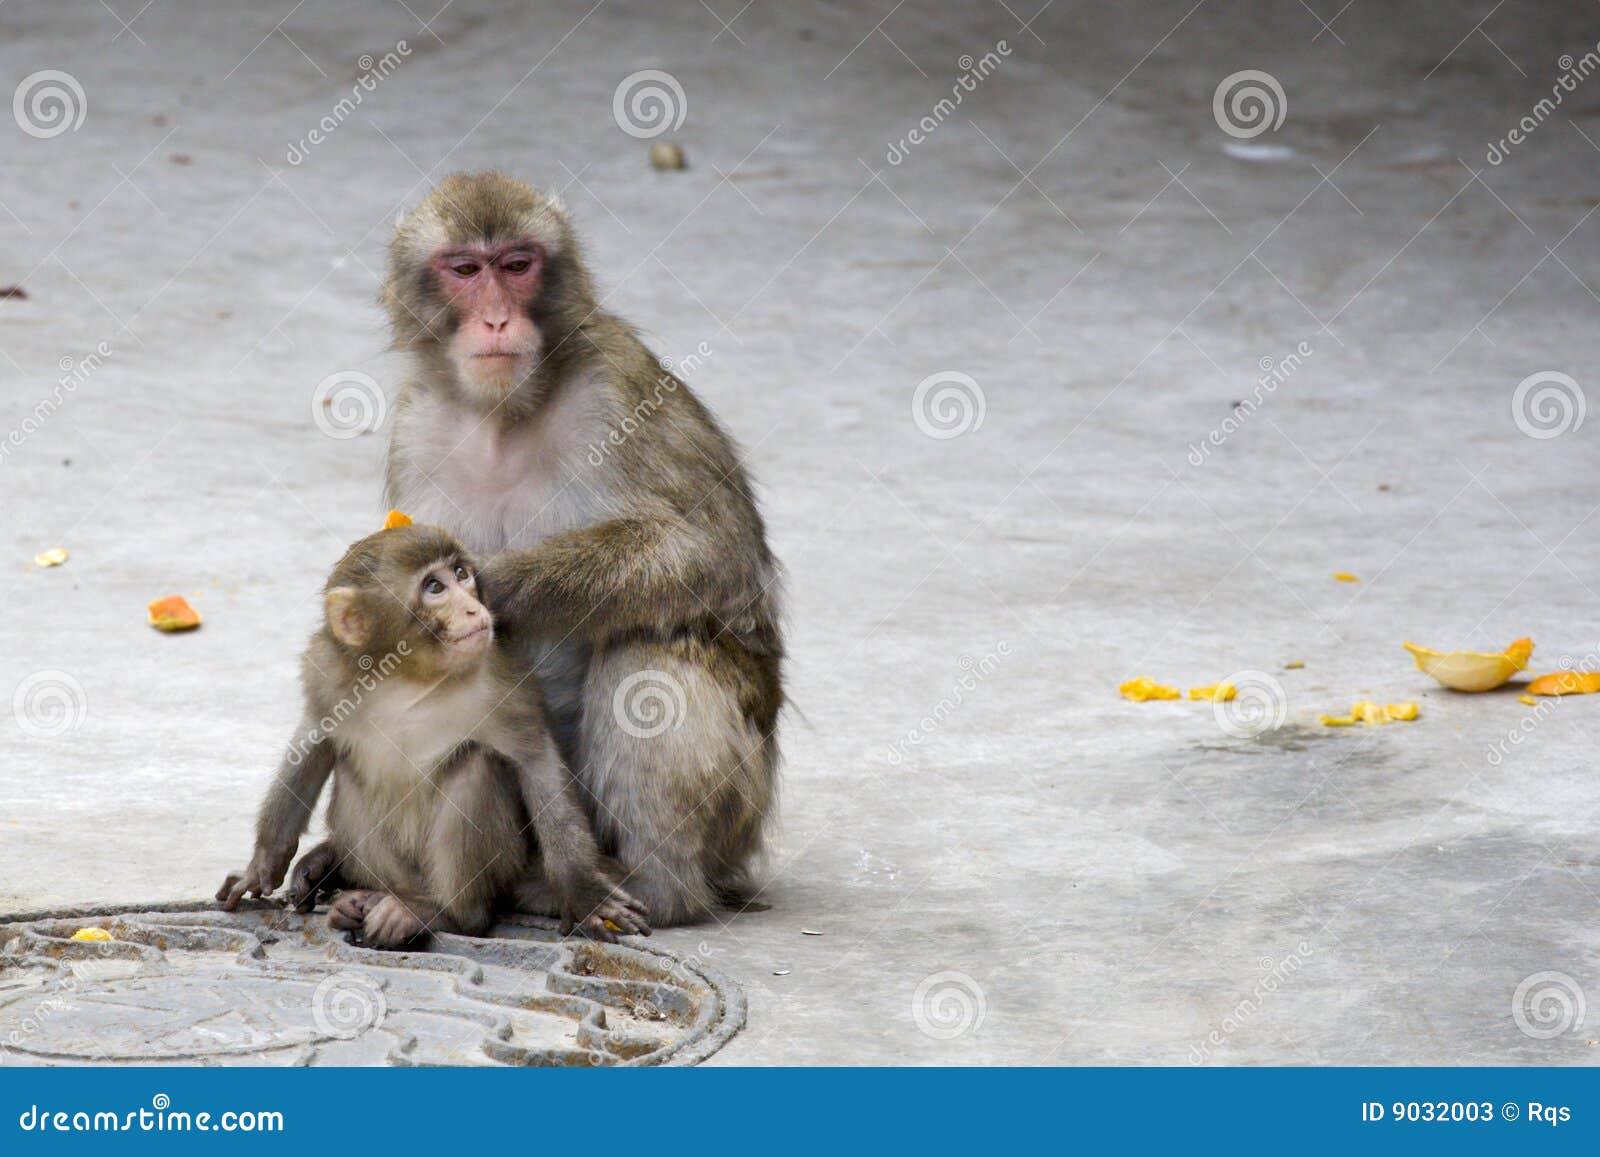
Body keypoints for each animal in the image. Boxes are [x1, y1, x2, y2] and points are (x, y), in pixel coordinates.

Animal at [216, 522, 650, 948]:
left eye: (461, 574)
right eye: (435, 587)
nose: (474, 608)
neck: (410, 675)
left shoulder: (501, 678)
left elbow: (534, 759)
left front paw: (584, 892)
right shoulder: (327, 673)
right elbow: (313, 743)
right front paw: (263, 863)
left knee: (475, 770)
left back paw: (440, 914)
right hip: (403, 869)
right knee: (352, 777)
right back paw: (370, 899)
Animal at [379, 171, 783, 926]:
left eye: (517, 264)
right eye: (465, 270)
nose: (497, 320)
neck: (501, 416)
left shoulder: (618, 385)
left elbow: (715, 555)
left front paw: (501, 585)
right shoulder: (416, 430)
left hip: (739, 810)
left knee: (650, 646)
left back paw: (650, 887)